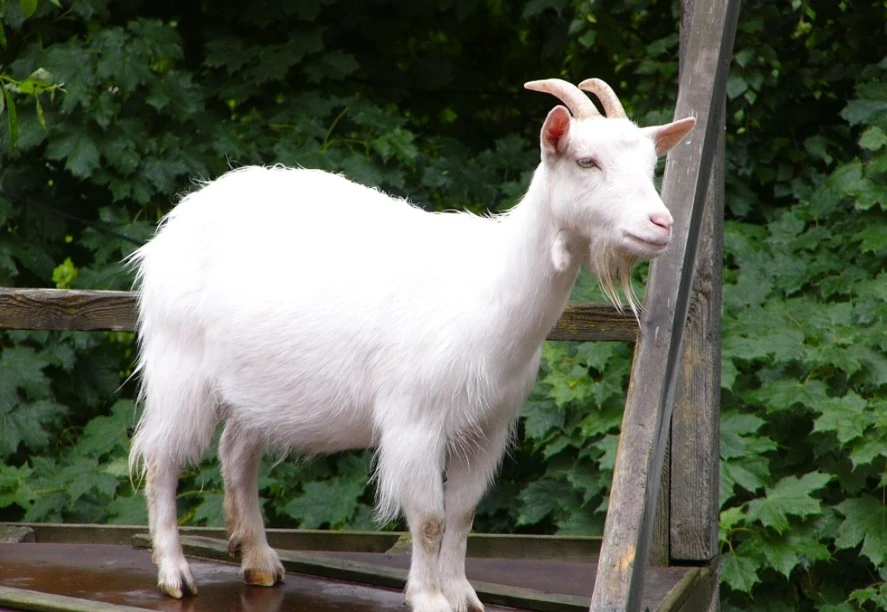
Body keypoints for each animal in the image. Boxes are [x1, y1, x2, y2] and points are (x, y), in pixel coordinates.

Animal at [128, 78, 695, 612]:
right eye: (586, 160)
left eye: (650, 165)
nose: (661, 224)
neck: (488, 289)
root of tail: (178, 220)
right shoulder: (414, 419)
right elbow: (428, 518)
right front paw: (427, 596)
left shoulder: (488, 426)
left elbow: (462, 514)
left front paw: (461, 592)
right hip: (179, 368)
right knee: (160, 459)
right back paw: (175, 573)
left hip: (256, 387)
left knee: (236, 452)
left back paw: (259, 560)